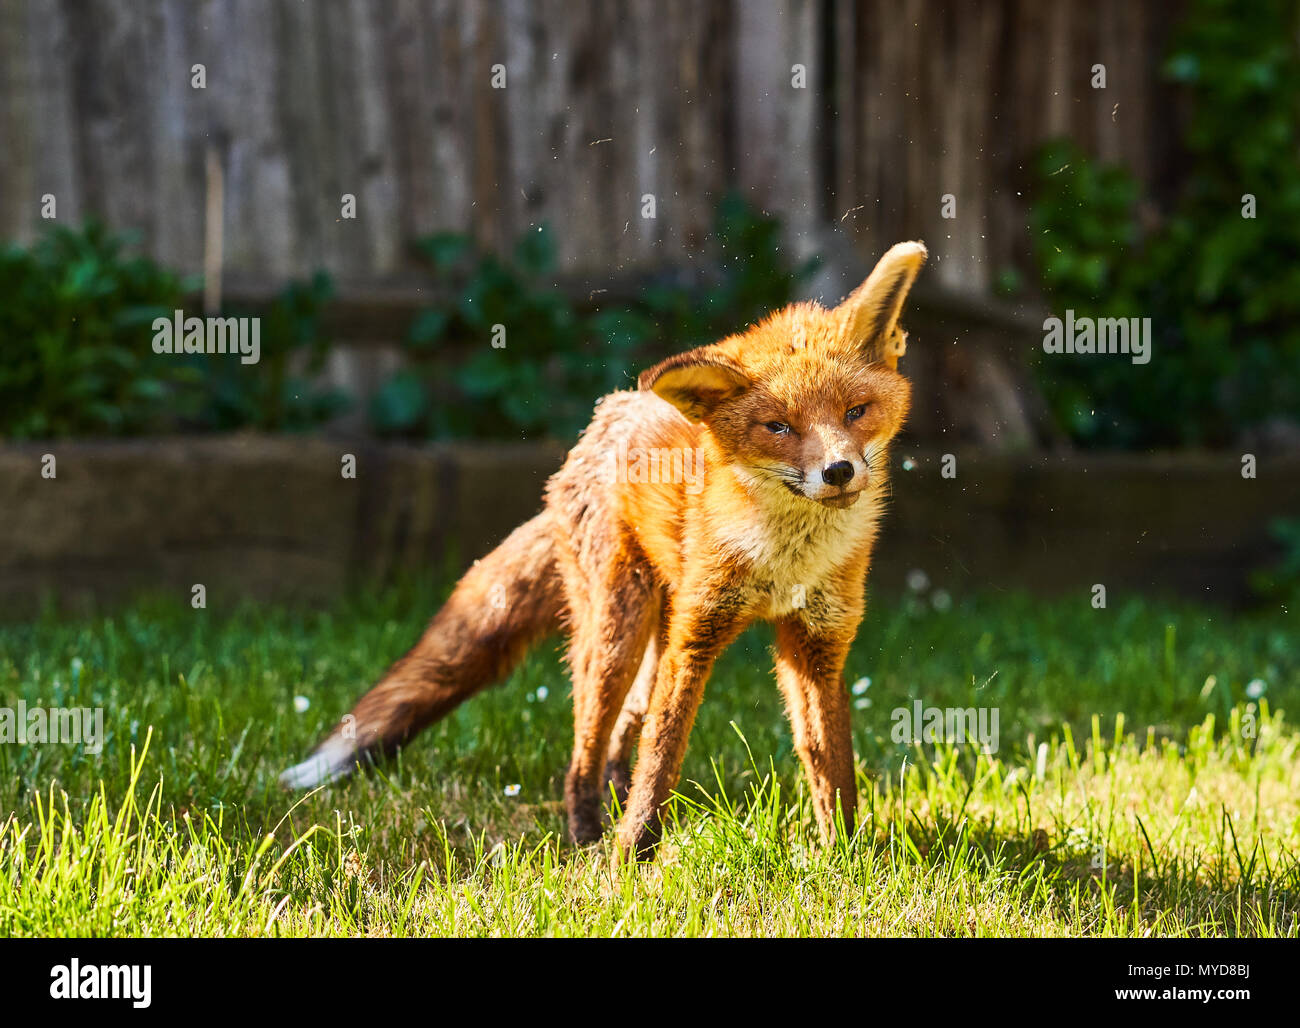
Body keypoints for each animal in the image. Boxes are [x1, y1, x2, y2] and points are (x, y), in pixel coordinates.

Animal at [281, 240, 928, 859]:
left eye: (855, 412)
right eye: (779, 427)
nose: (838, 471)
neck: (785, 559)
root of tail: (605, 416)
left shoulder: (817, 646)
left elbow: (829, 767)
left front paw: (846, 855)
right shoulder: (697, 638)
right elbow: (662, 756)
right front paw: (632, 856)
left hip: (653, 638)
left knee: (623, 741)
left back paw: (613, 810)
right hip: (618, 634)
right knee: (585, 752)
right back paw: (588, 835)